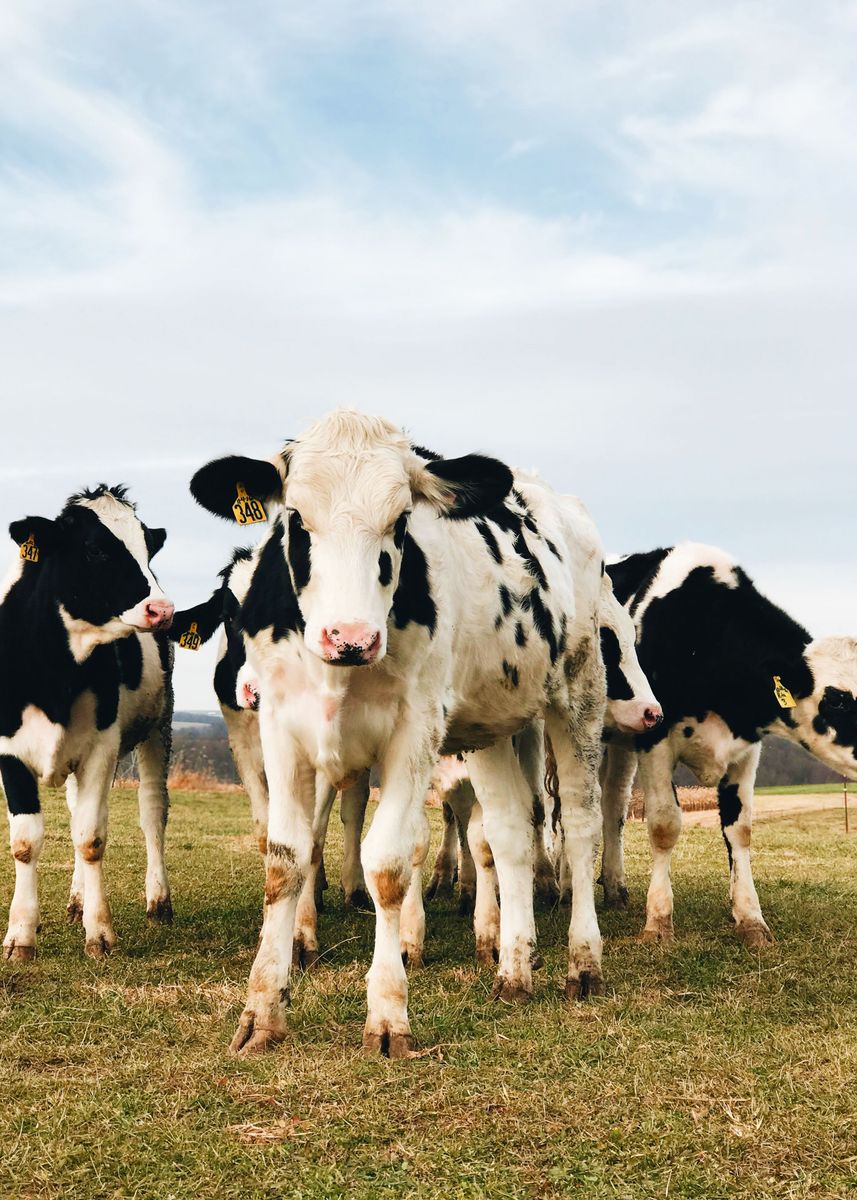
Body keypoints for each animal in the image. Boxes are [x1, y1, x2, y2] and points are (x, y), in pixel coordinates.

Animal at [0, 484, 175, 961]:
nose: (162, 608)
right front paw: (20, 935)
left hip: (159, 727)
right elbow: (25, 842)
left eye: (148, 548)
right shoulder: (8, 753)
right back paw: (76, 901)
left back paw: (158, 900)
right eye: (95, 549)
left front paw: (99, 933)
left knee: (152, 811)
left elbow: (91, 838)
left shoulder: (102, 746)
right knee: (79, 807)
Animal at [189, 410, 610, 1057]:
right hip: (490, 724)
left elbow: (387, 863)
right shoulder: (280, 727)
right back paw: (514, 969)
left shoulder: (415, 732)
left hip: (578, 692)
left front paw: (388, 1014)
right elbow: (284, 859)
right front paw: (262, 1011)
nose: (350, 637)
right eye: (295, 518)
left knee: (582, 824)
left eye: (401, 522)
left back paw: (583, 962)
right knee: (511, 833)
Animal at [603, 542, 857, 946]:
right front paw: (658, 920)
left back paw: (613, 887)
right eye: (837, 700)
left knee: (613, 804)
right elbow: (664, 825)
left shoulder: (746, 750)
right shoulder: (654, 739)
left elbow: (740, 830)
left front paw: (749, 917)